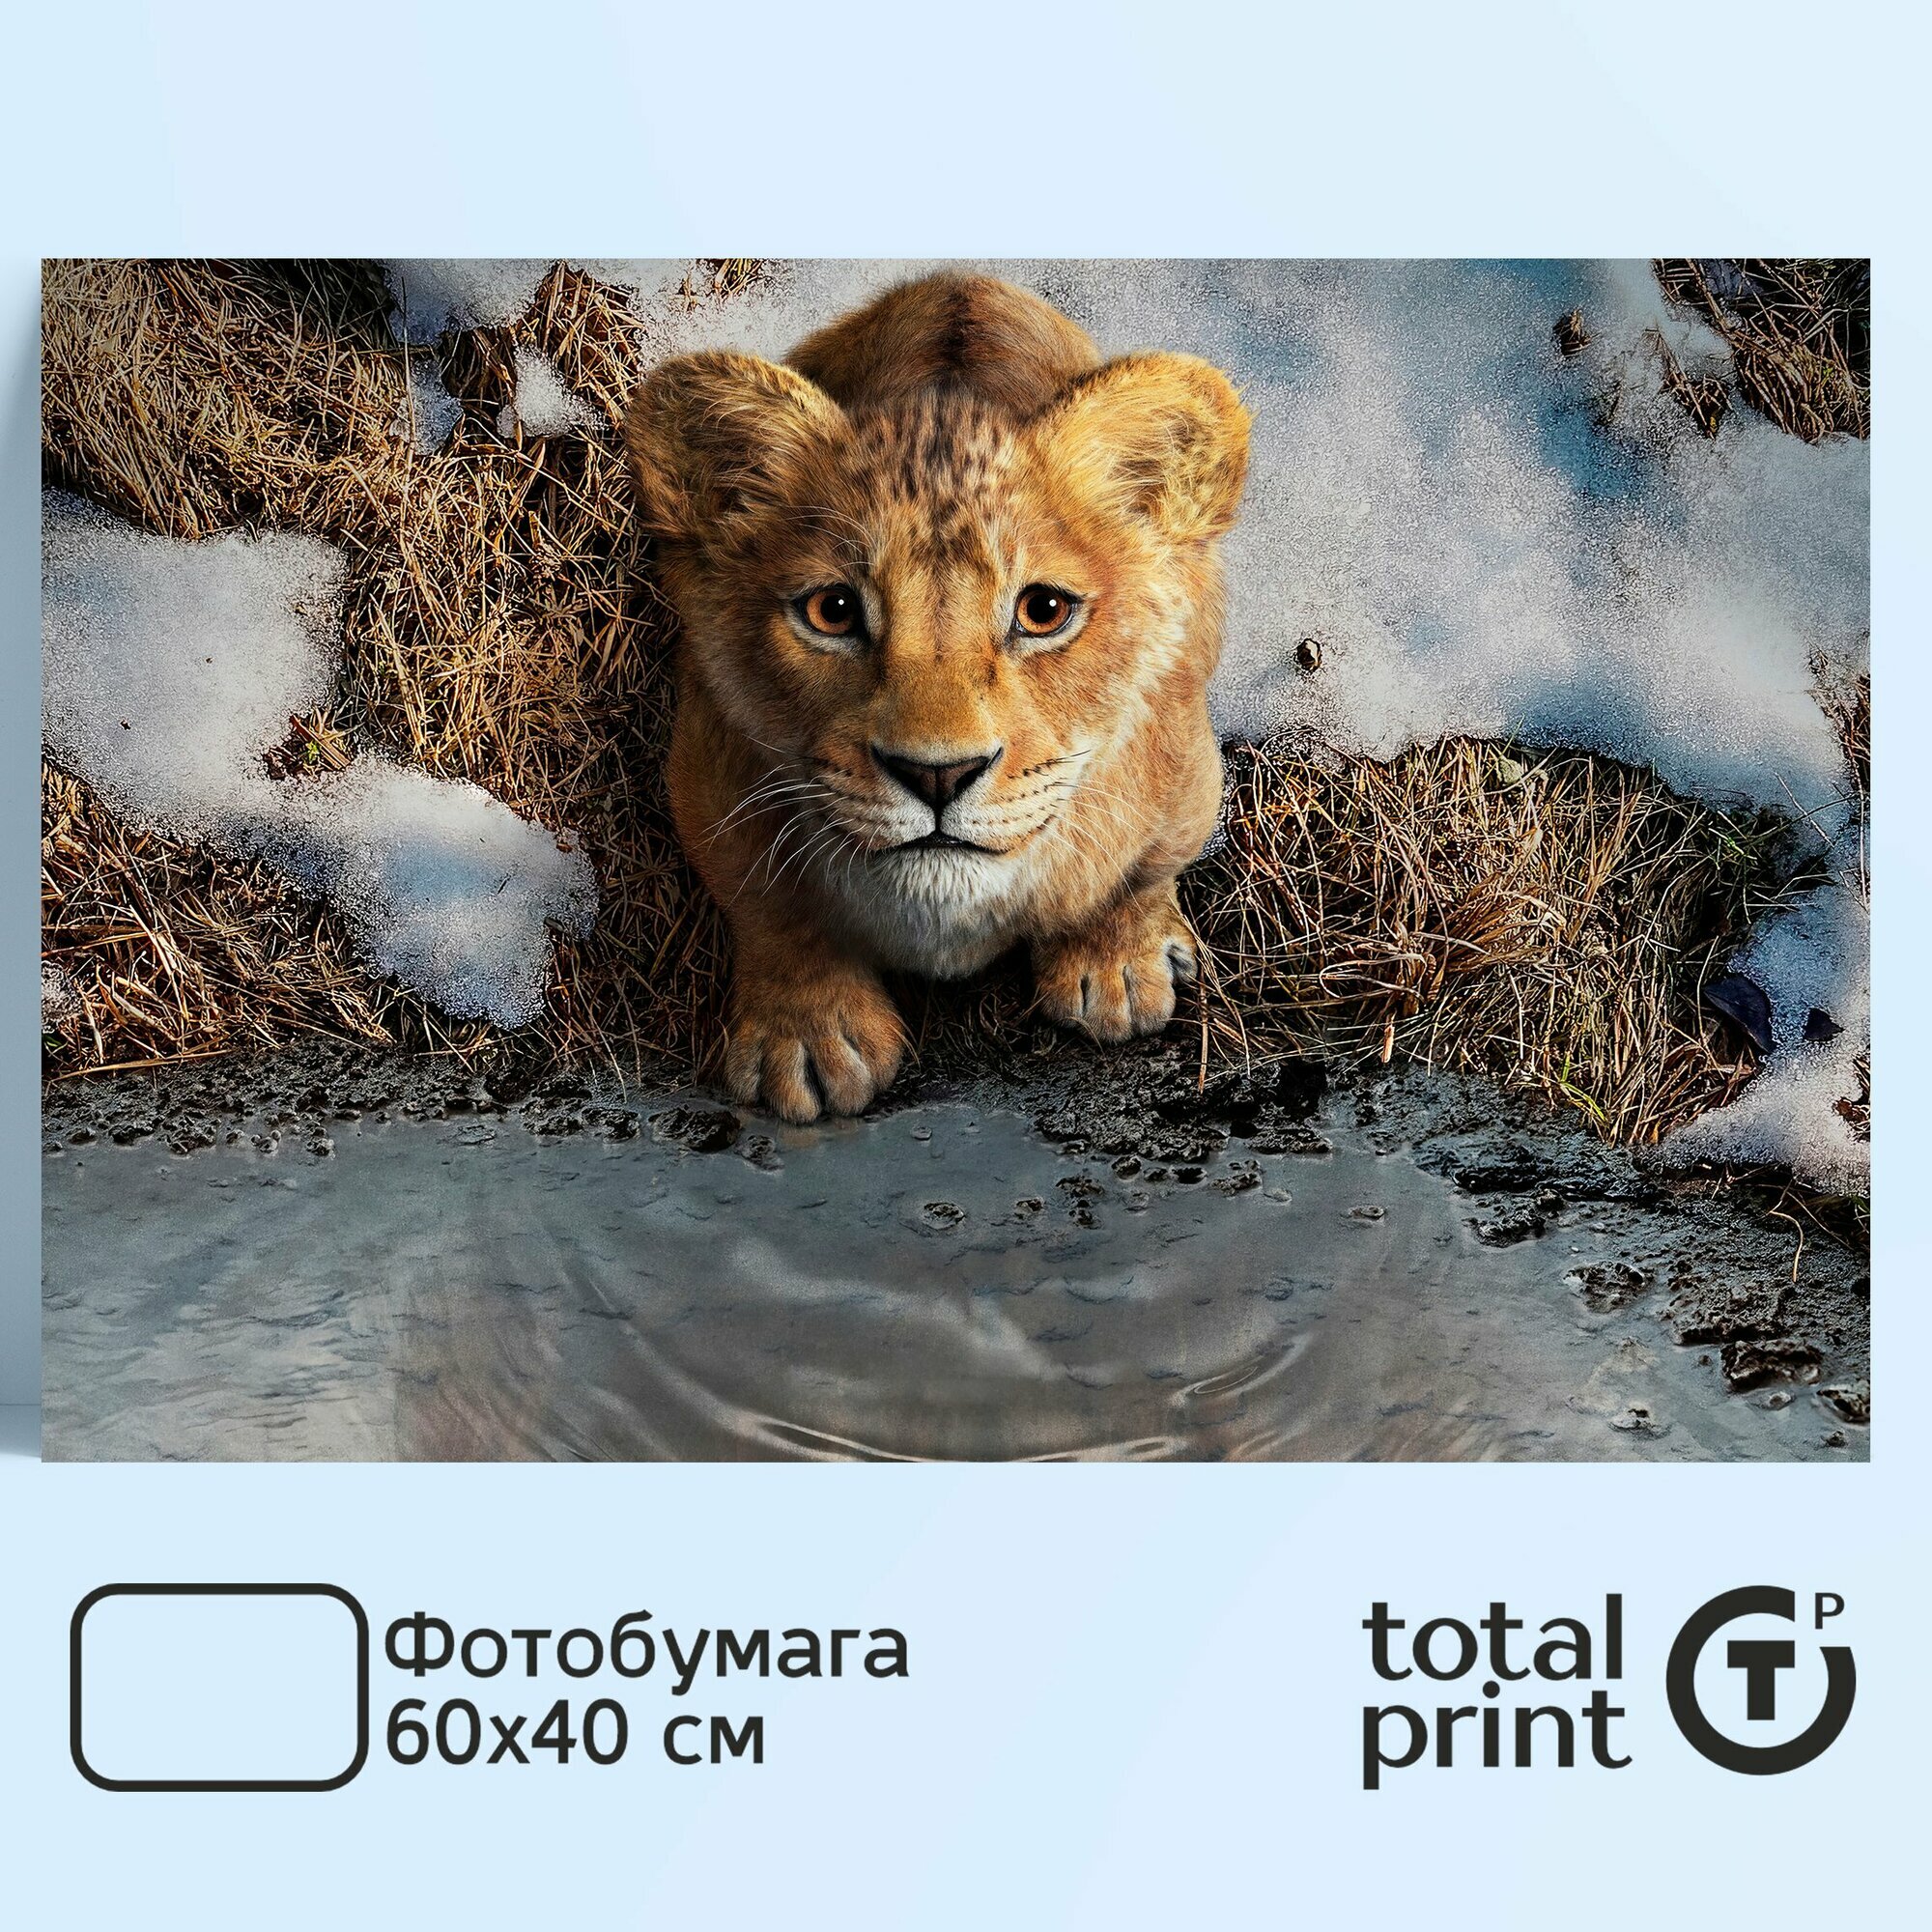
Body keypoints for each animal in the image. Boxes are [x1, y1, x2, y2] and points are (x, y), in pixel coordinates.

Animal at [625, 272, 1250, 1122]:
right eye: (832, 611)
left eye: (1043, 611)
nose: (937, 775)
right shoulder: (707, 769)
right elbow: (770, 906)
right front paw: (809, 1038)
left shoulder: (1184, 771)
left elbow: (1137, 873)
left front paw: (1118, 968)